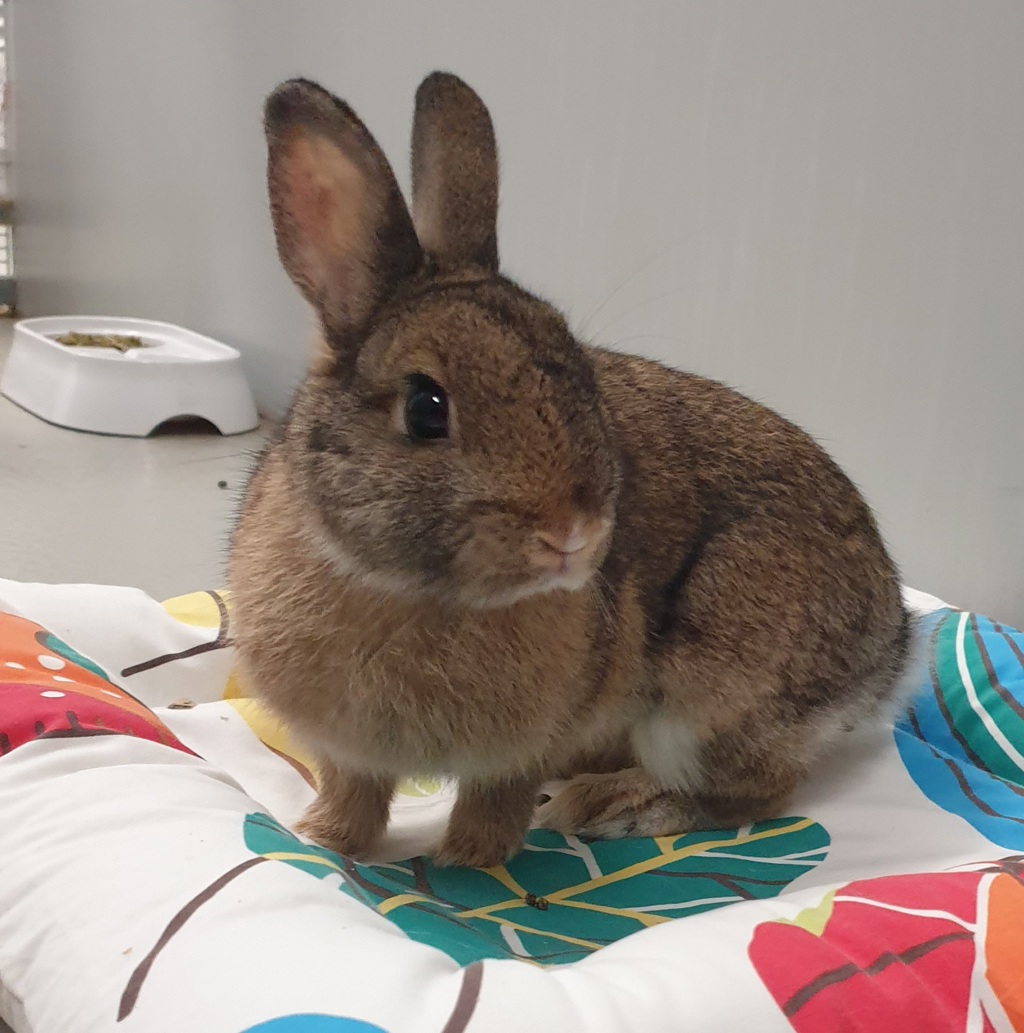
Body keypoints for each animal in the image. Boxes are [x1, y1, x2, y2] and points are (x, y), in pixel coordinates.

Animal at [228, 71, 911, 869]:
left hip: (712, 693)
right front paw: (322, 843)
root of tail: (889, 652)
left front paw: (463, 865)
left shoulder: (519, 753)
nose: (575, 534)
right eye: (426, 408)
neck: (407, 591)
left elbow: (493, 810)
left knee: (756, 793)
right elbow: (353, 799)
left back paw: (611, 804)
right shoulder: (349, 754)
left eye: (581, 374)